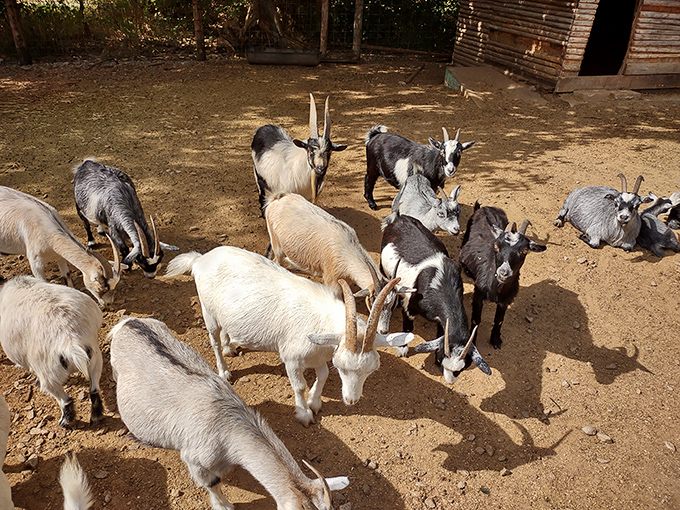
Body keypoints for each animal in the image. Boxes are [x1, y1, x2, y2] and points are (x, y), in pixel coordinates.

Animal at [0, 276, 105, 427]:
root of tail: (69, 339)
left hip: (49, 375)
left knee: (63, 399)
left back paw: (66, 420)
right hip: (95, 358)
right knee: (94, 389)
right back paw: (96, 416)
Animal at [165, 246, 413, 426]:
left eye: (371, 370)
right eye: (342, 367)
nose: (351, 401)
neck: (321, 319)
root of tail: (200, 259)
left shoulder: (320, 353)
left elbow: (323, 374)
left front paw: (315, 402)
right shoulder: (291, 359)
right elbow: (300, 386)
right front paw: (304, 415)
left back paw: (229, 348)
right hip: (208, 313)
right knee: (214, 340)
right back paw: (224, 371)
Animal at [264, 192, 412, 334]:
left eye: (394, 303)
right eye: (373, 300)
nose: (383, 330)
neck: (346, 248)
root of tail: (277, 199)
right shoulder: (332, 283)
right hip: (277, 246)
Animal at [380, 215, 490, 384]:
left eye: (461, 369)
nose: (450, 381)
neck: (441, 282)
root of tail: (400, 218)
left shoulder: (441, 318)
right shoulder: (410, 305)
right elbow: (408, 326)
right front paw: (403, 348)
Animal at [458, 202, 546, 349]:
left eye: (524, 251)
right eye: (496, 246)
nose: (503, 273)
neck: (496, 289)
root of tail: (485, 207)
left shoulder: (505, 301)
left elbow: (499, 320)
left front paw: (496, 340)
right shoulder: (478, 295)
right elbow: (476, 320)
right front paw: (472, 342)